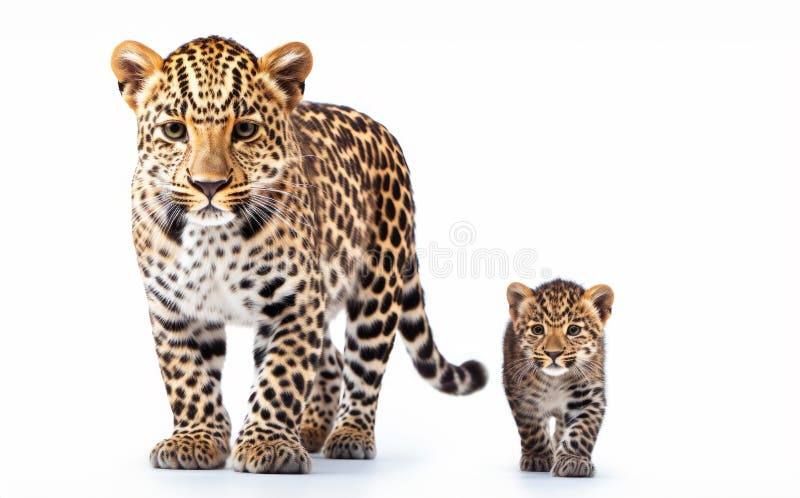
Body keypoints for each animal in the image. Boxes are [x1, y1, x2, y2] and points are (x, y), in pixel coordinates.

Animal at [110, 35, 487, 474]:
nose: (209, 185)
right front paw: (197, 438)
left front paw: (268, 445)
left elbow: (281, 376)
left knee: (363, 366)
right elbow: (187, 377)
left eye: (245, 129)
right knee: (332, 361)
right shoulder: (174, 307)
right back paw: (311, 429)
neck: (213, 240)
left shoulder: (295, 303)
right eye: (174, 130)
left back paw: (349, 435)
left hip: (379, 282)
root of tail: (382, 130)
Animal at [503, 279, 613, 477]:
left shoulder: (589, 397)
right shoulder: (522, 396)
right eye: (538, 329)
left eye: (573, 330)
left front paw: (574, 461)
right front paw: (538, 458)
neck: (555, 381)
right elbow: (532, 429)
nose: (553, 353)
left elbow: (583, 429)